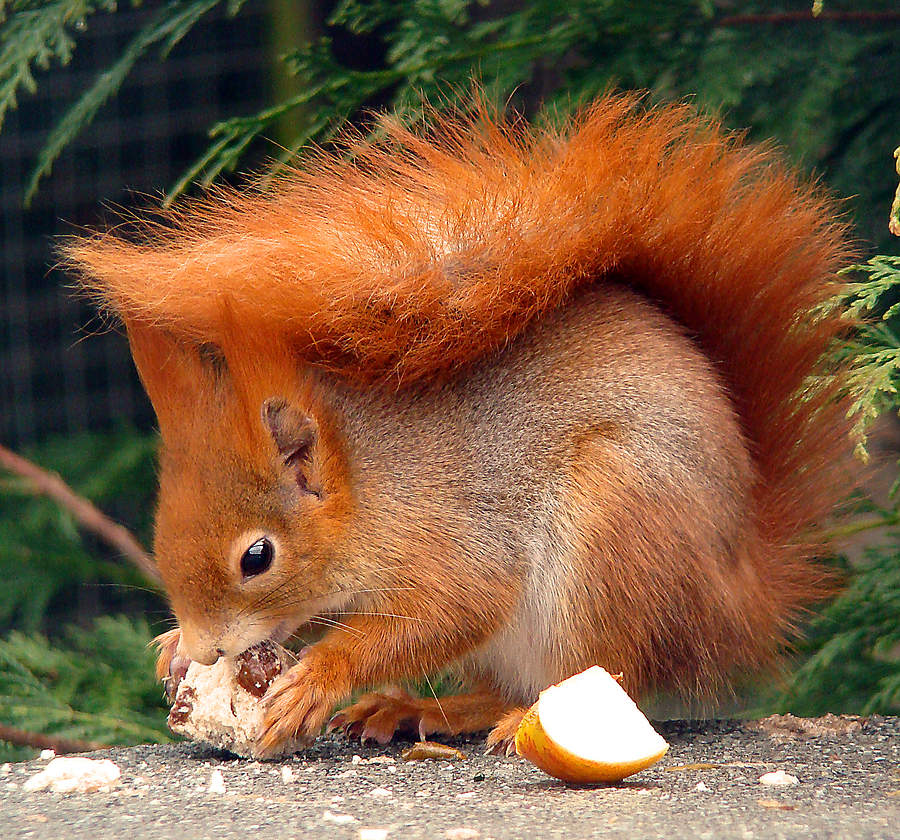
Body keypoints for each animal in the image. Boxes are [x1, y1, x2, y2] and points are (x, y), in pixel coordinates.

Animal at [63, 93, 857, 755]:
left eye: (256, 558)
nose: (204, 648)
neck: (373, 485)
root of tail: (740, 595)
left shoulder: (458, 538)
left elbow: (448, 611)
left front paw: (320, 677)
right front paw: (171, 642)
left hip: (616, 533)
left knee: (609, 670)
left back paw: (516, 720)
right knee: (505, 684)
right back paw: (423, 710)